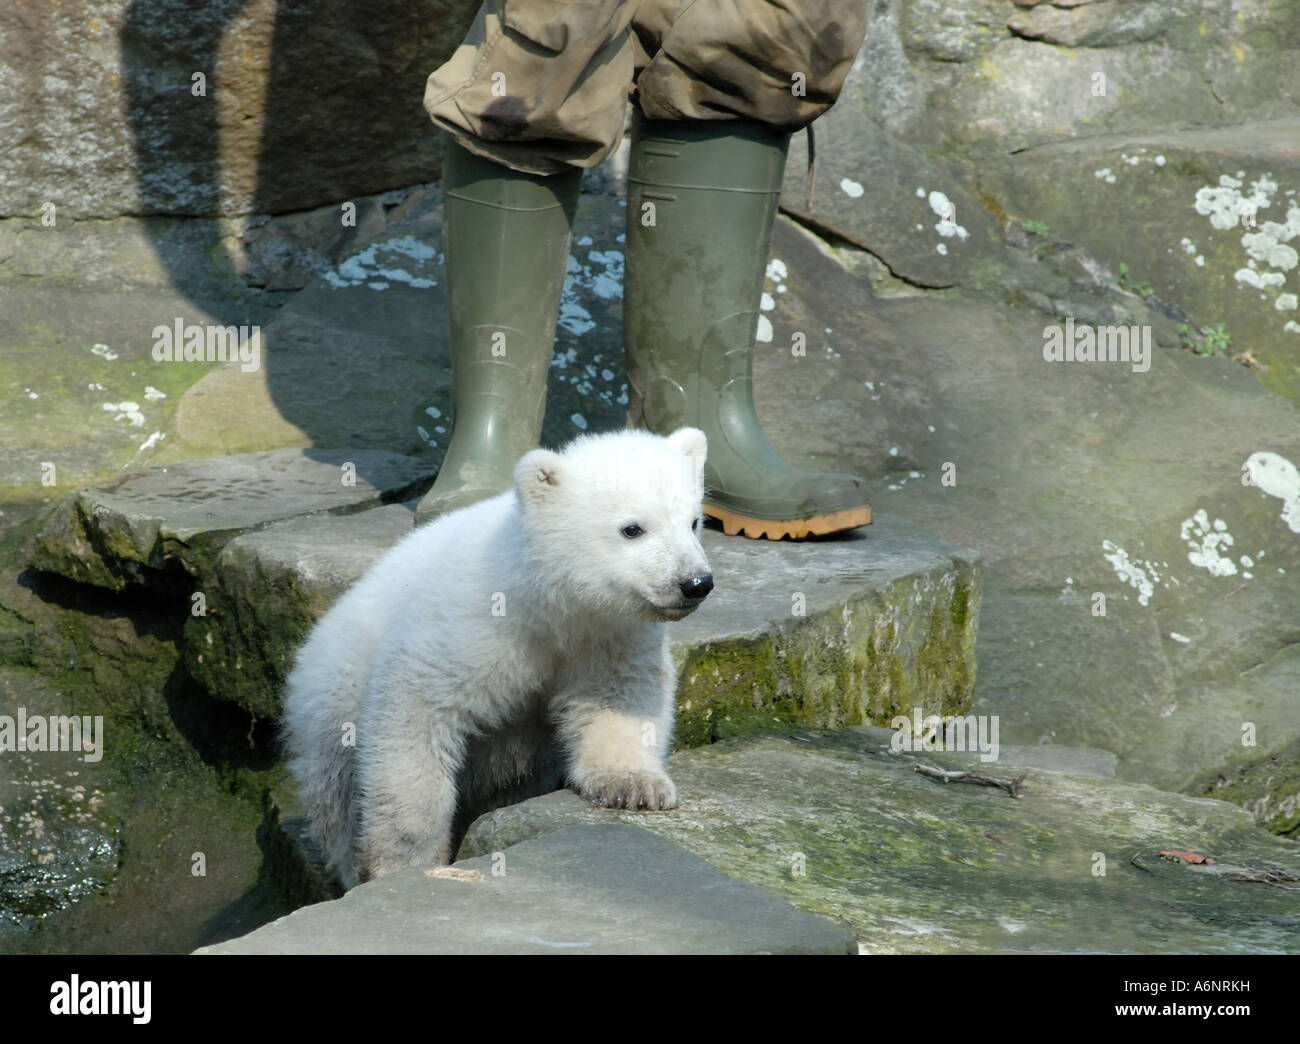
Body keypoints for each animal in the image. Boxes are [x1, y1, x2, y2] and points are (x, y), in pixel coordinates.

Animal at [281, 426, 713, 889]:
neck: (547, 600)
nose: (695, 583)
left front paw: (634, 786)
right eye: (632, 528)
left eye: (693, 521)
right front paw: (406, 859)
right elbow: (417, 714)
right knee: (337, 793)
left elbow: (619, 697)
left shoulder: (610, 634)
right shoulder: (474, 625)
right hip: (333, 692)